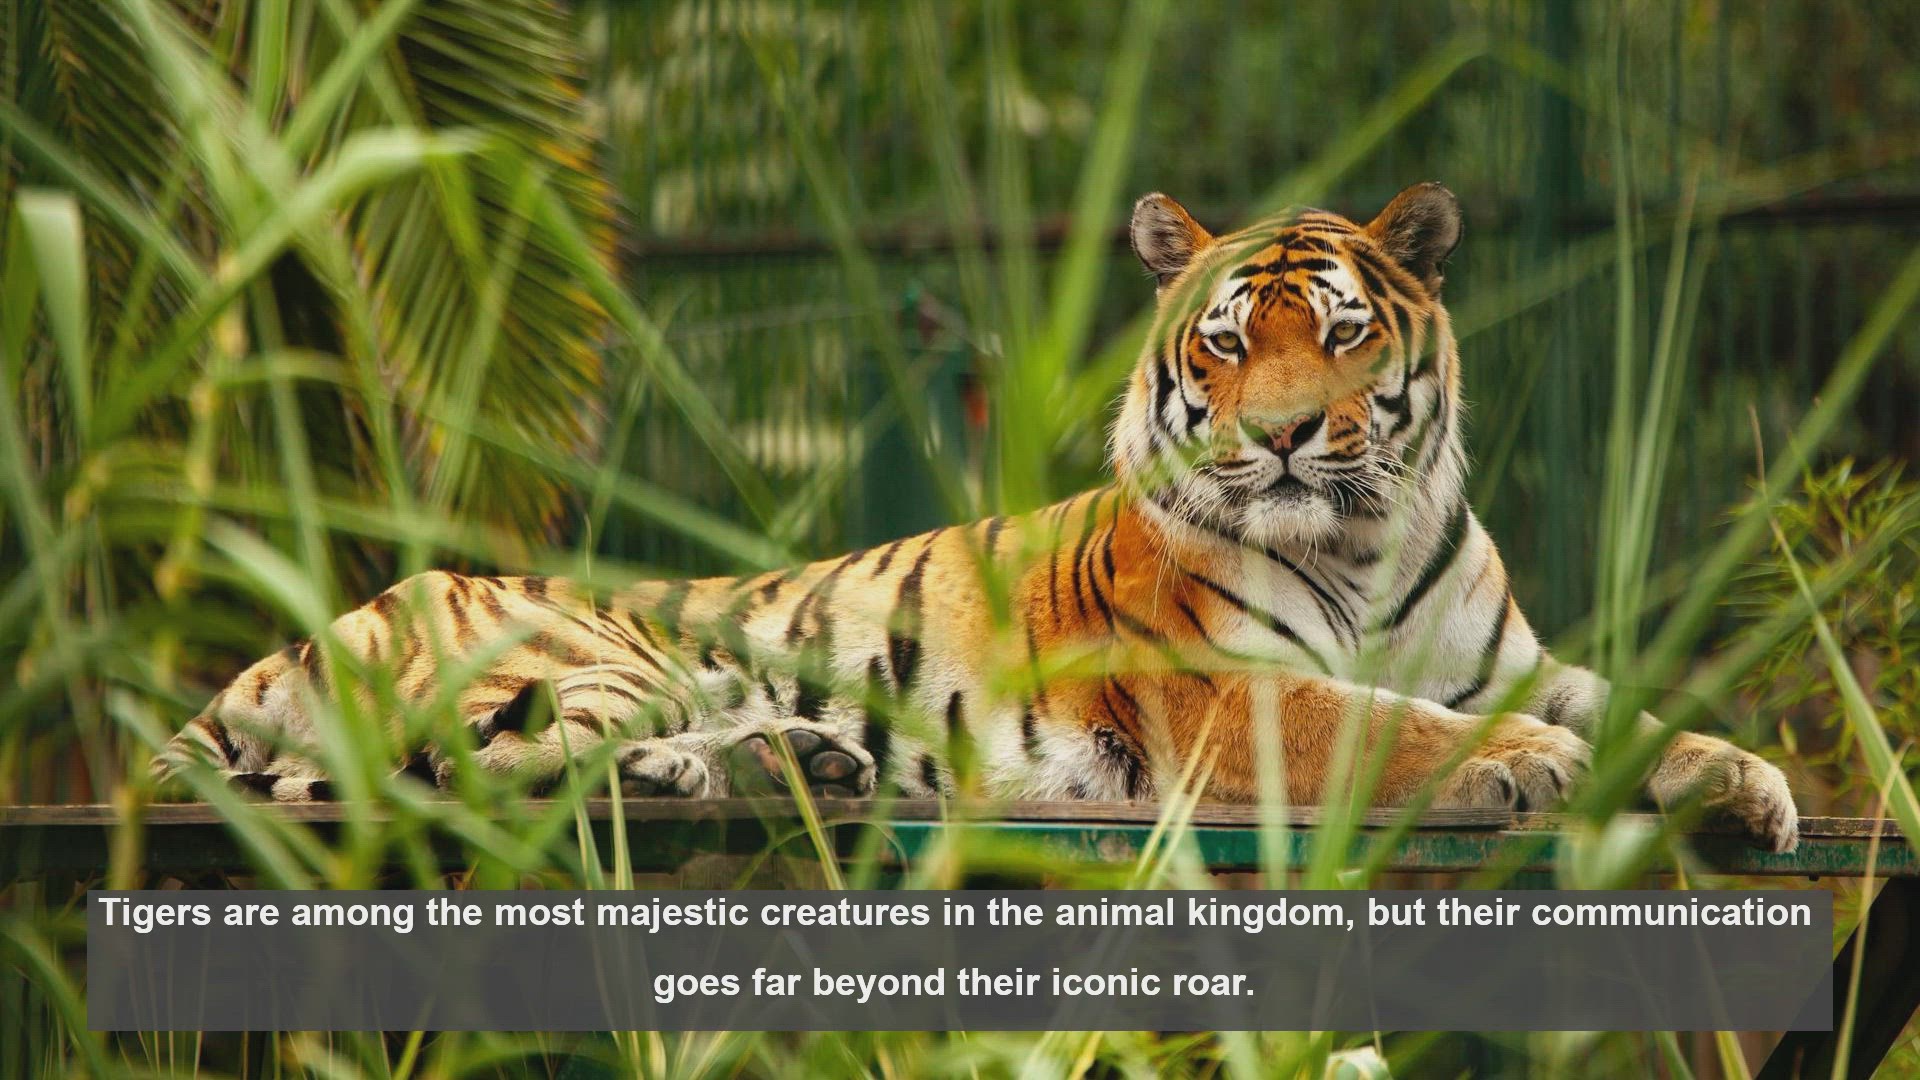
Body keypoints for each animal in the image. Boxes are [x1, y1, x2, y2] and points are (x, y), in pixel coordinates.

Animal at [153, 181, 1799, 853]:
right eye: (1224, 345)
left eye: (1338, 336)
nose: (1275, 439)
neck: (1368, 535)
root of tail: (280, 648)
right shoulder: (1234, 696)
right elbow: (1393, 727)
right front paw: (1525, 767)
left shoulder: (1511, 656)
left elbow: (1637, 708)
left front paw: (1745, 781)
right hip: (581, 653)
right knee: (473, 774)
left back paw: (785, 762)